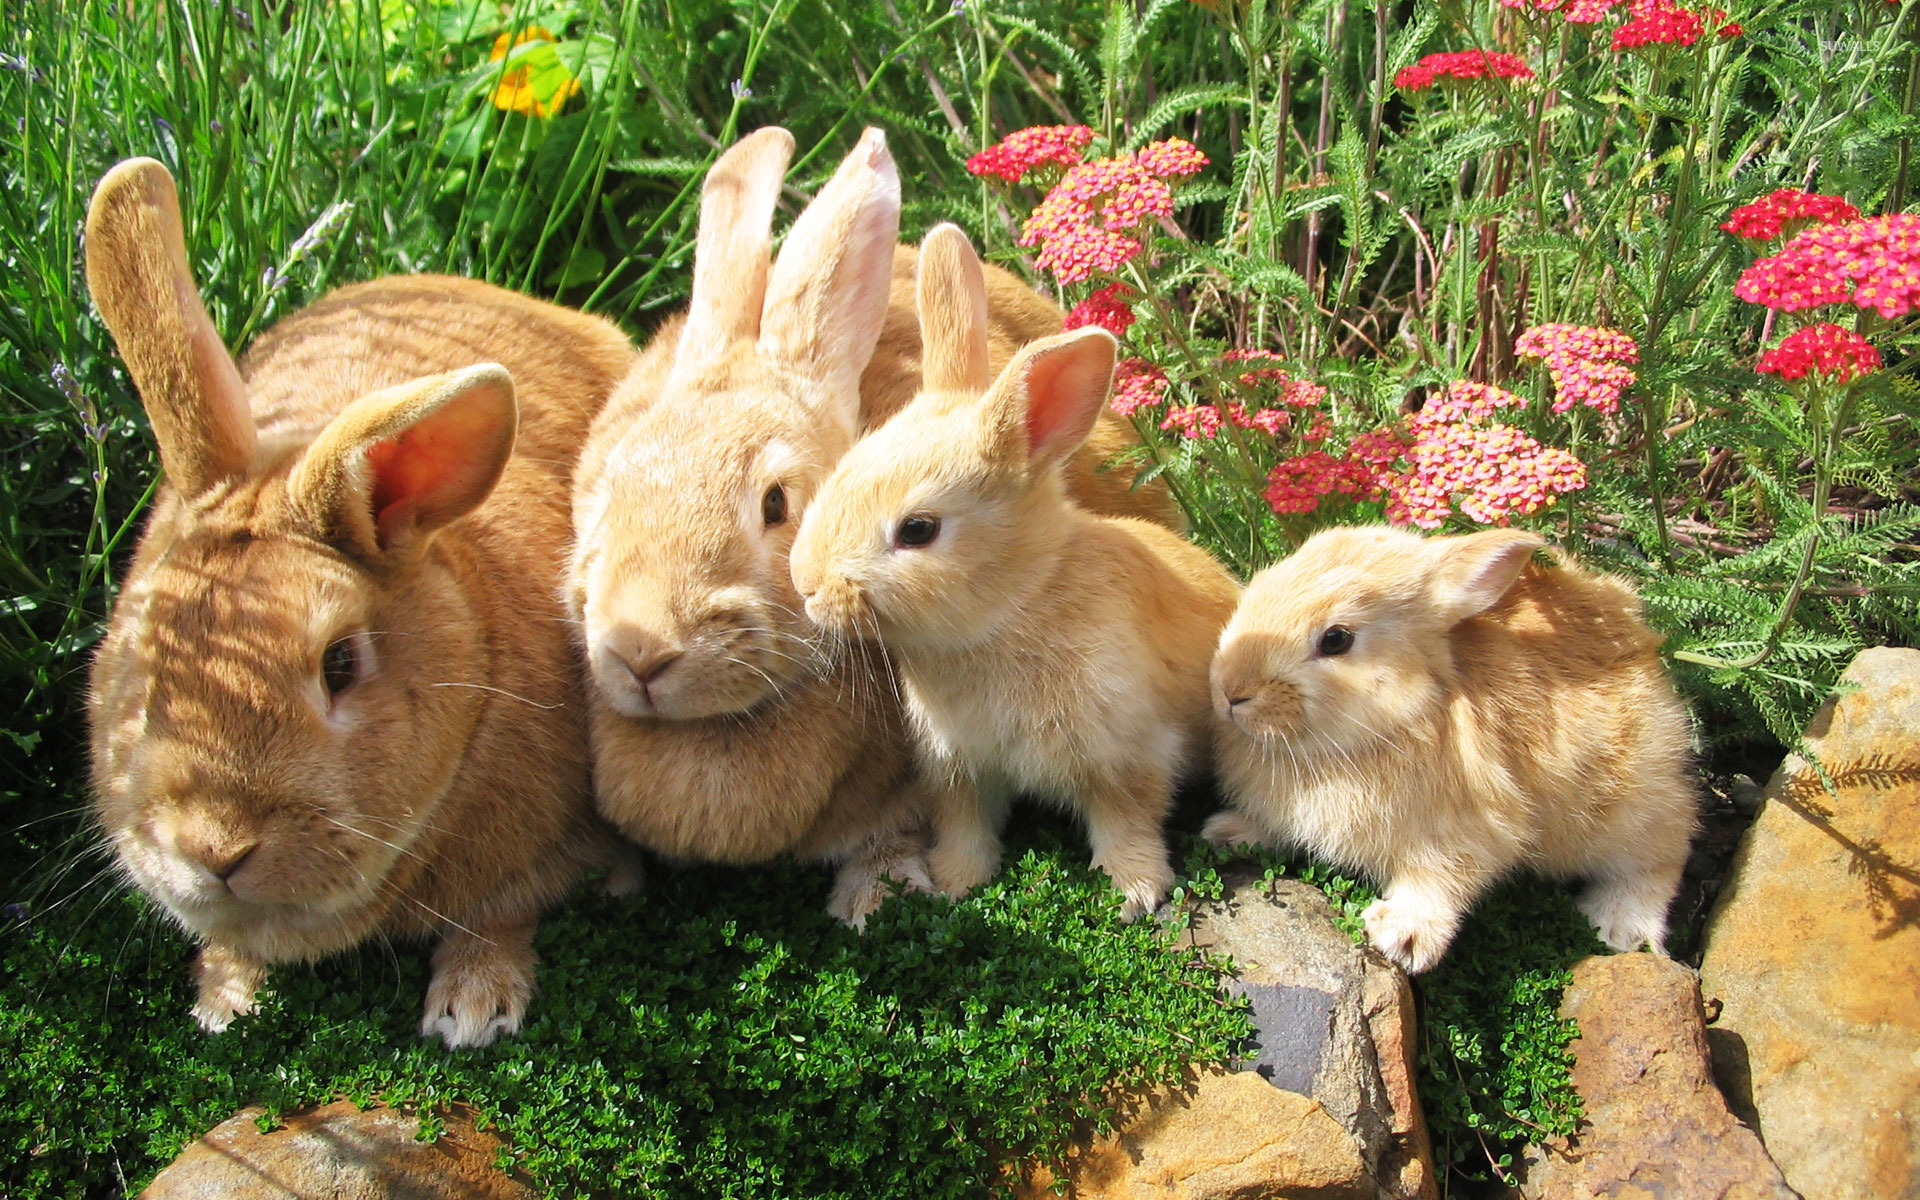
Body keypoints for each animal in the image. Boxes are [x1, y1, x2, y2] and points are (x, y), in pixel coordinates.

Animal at [83, 158, 634, 1048]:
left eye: (339, 664)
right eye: (145, 650)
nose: (217, 849)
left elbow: (500, 916)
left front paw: (472, 1010)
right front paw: (223, 1003)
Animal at [789, 224, 1244, 920]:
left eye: (918, 530)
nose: (806, 586)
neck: (1013, 609)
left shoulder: (1129, 753)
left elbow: (1127, 821)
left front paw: (1134, 891)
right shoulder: (960, 767)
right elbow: (966, 825)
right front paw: (955, 881)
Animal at [1202, 523, 1699, 973]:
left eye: (1336, 639)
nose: (1230, 691)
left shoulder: (1464, 830)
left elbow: (1439, 882)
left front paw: (1402, 938)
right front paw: (1228, 832)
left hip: (1625, 805)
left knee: (1665, 849)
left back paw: (1619, 925)